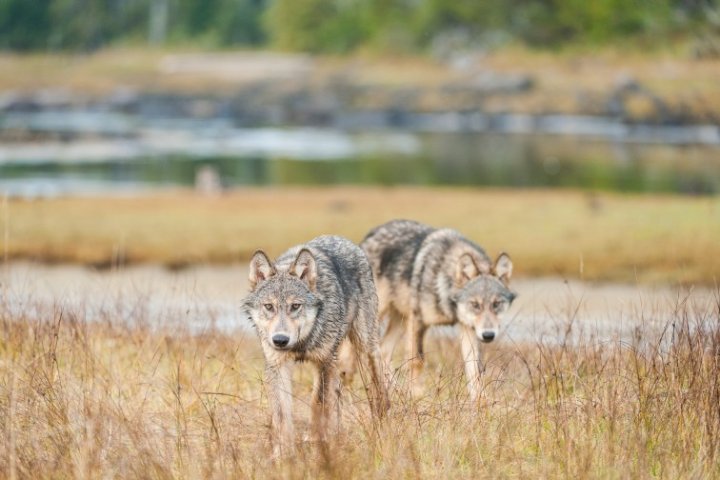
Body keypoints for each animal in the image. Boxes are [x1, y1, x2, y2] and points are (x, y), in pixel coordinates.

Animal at [243, 235, 389, 455]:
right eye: (269, 306)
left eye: (295, 306)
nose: (280, 340)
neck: (301, 343)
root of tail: (342, 239)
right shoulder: (277, 366)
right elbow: (282, 414)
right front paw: (284, 453)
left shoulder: (325, 362)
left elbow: (319, 401)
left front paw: (321, 442)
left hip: (365, 347)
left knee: (376, 385)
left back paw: (381, 421)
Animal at [360, 219, 516, 402]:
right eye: (475, 304)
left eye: (496, 304)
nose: (488, 335)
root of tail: (370, 235)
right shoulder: (418, 322)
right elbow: (417, 360)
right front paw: (416, 396)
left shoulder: (468, 329)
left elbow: (474, 369)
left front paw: (481, 402)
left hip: (400, 321)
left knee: (383, 353)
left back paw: (395, 392)